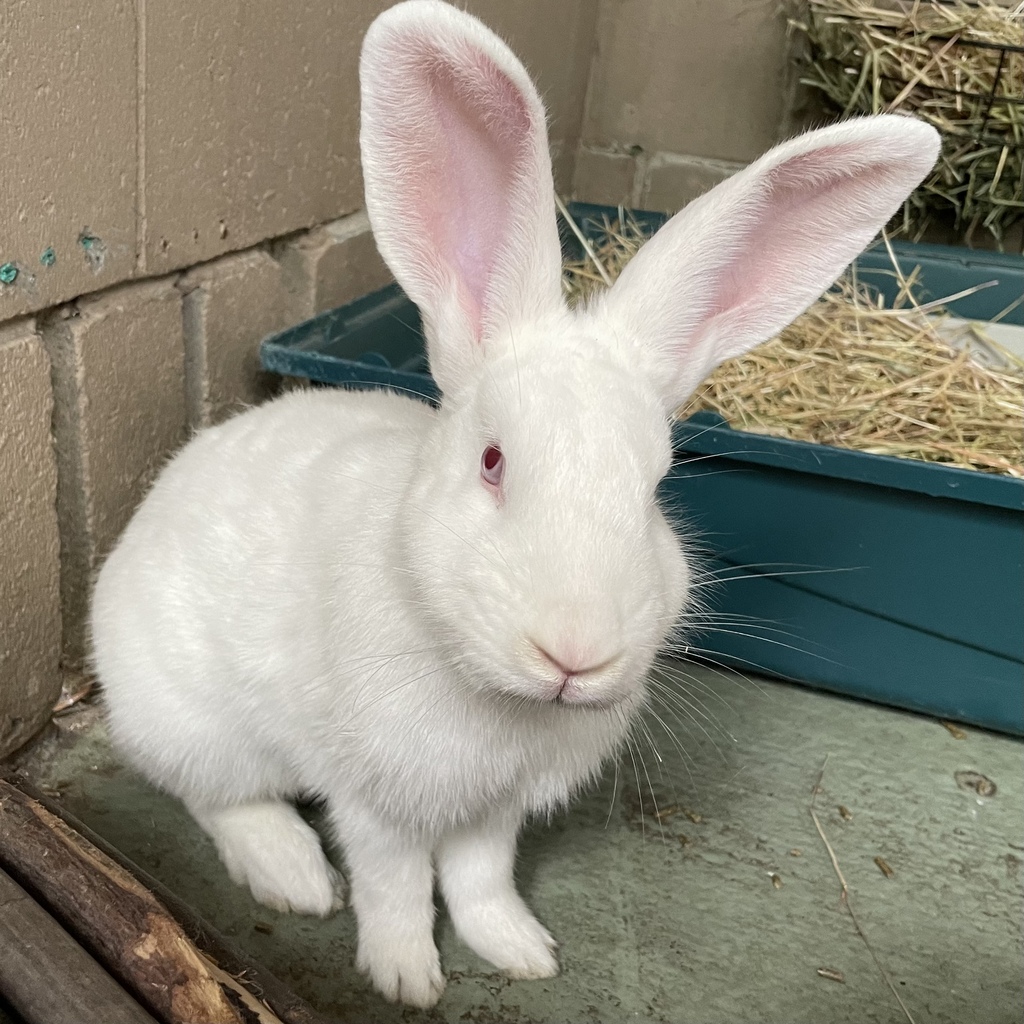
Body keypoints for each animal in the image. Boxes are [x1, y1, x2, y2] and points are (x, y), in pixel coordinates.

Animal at [90, 0, 939, 1009]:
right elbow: (394, 882)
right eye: (493, 462)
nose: (575, 656)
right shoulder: (377, 797)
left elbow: (479, 877)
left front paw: (522, 951)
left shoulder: (495, 811)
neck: (494, 693)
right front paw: (408, 978)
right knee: (216, 794)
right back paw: (293, 874)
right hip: (195, 719)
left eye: (655, 490)